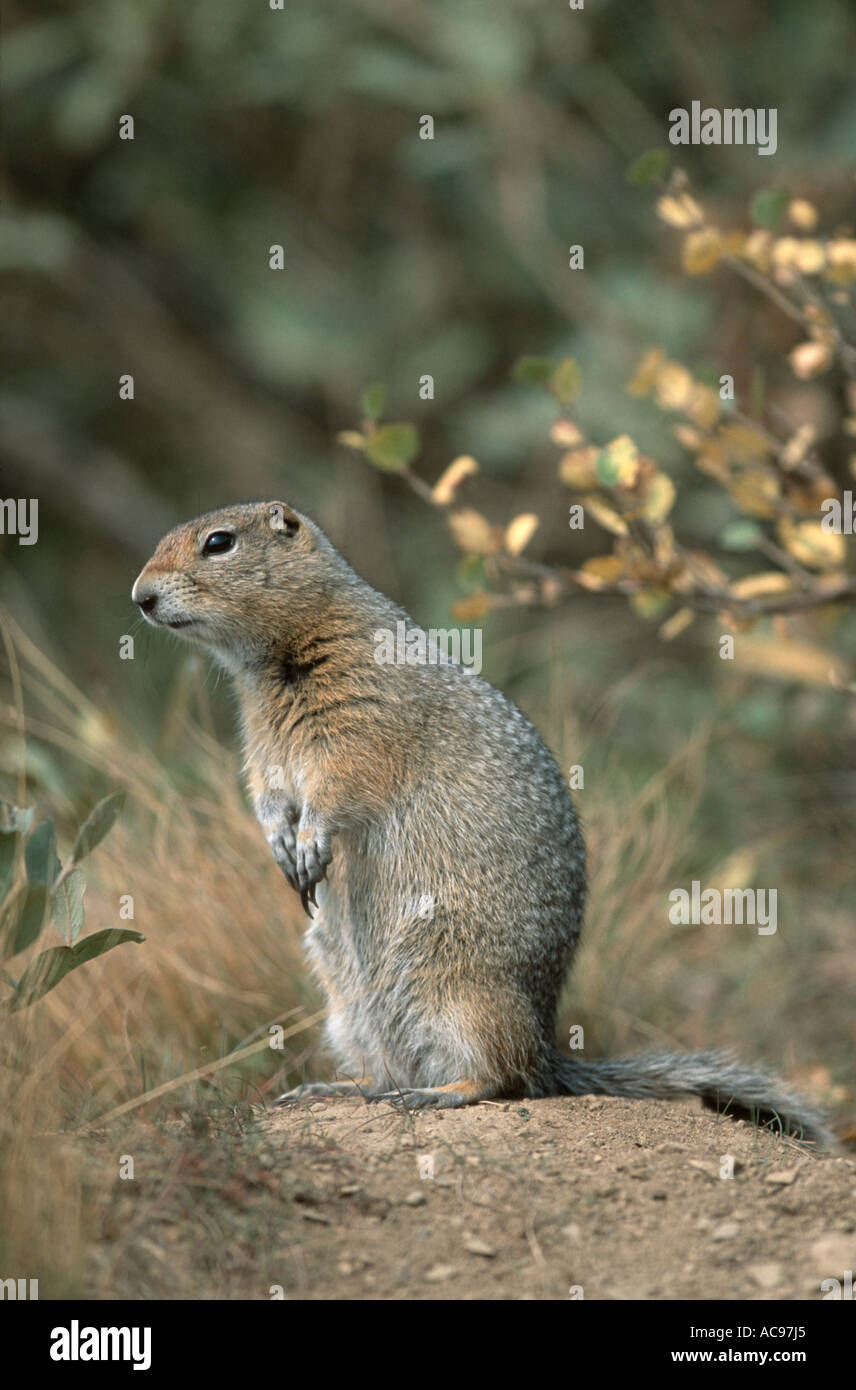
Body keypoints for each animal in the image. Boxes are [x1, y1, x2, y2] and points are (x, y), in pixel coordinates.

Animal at [132, 500, 831, 1146]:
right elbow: (268, 794)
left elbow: (340, 785)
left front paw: (309, 843)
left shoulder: (363, 717)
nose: (140, 597)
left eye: (218, 543)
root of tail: (549, 1048)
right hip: (348, 1007)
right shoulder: (263, 747)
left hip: (462, 990)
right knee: (391, 1069)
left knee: (503, 1078)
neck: (275, 660)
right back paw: (339, 1087)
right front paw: (280, 842)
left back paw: (440, 1093)